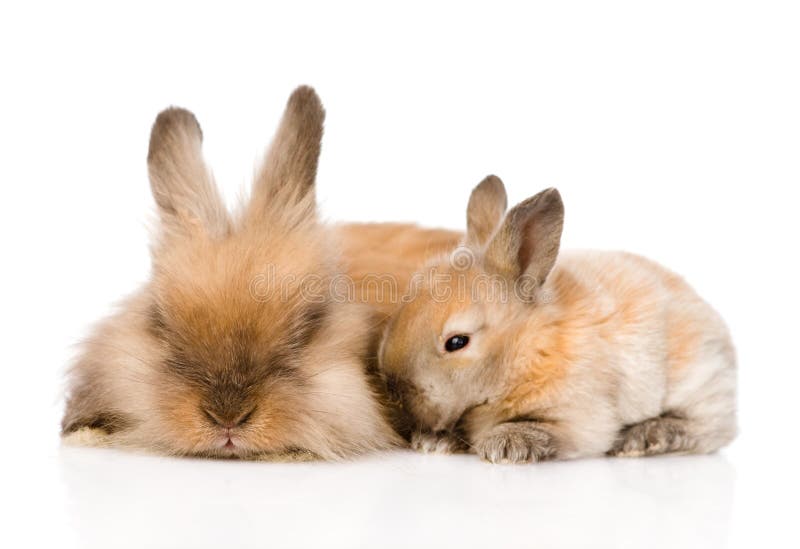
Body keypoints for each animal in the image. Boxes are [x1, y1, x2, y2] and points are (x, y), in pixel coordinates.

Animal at [379, 175, 737, 463]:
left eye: (456, 342)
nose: (393, 387)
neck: (528, 349)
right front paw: (433, 443)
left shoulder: (584, 417)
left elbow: (551, 430)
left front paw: (506, 445)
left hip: (699, 382)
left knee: (713, 429)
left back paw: (646, 438)